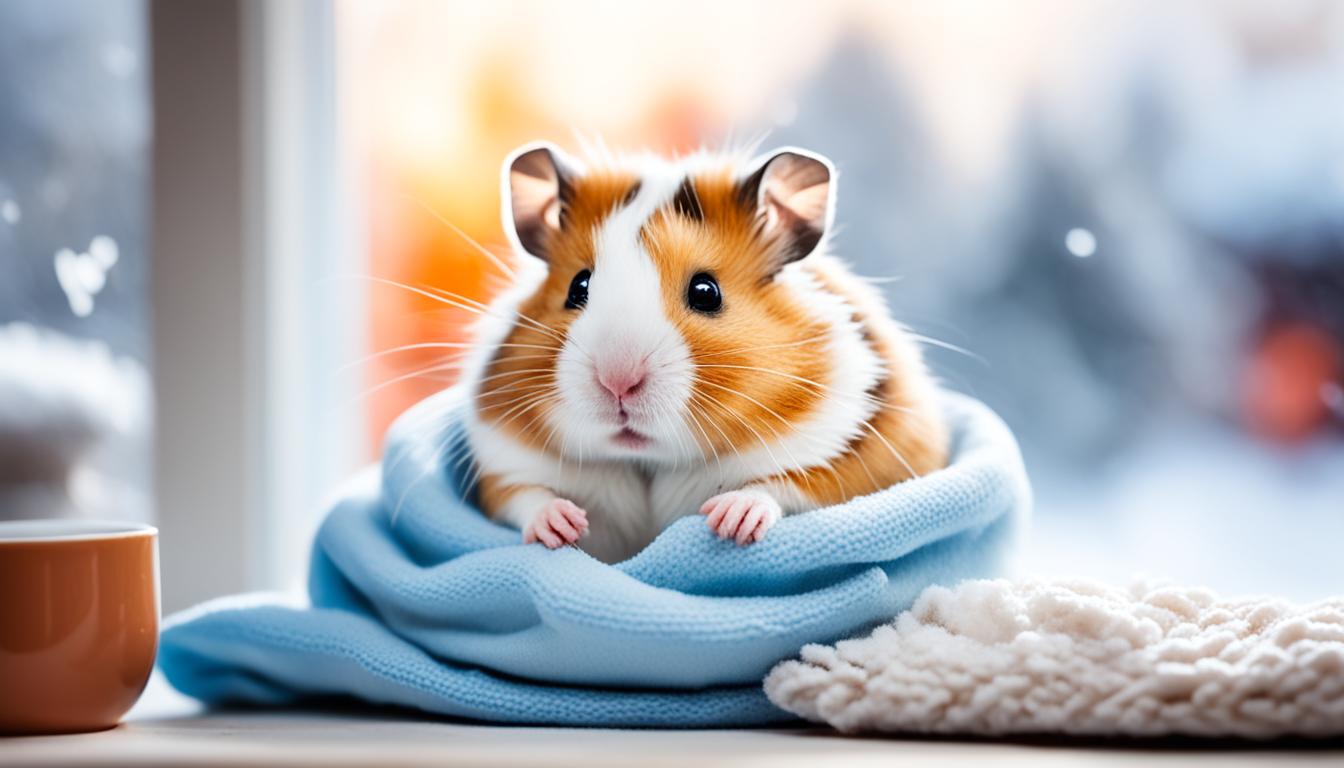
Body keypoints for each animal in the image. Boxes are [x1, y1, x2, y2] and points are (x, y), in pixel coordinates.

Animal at [461, 142, 948, 563]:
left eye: (706, 291)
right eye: (577, 287)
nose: (617, 382)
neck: (649, 464)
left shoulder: (859, 459)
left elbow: (788, 485)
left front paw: (729, 522)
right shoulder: (503, 468)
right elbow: (523, 496)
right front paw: (563, 527)